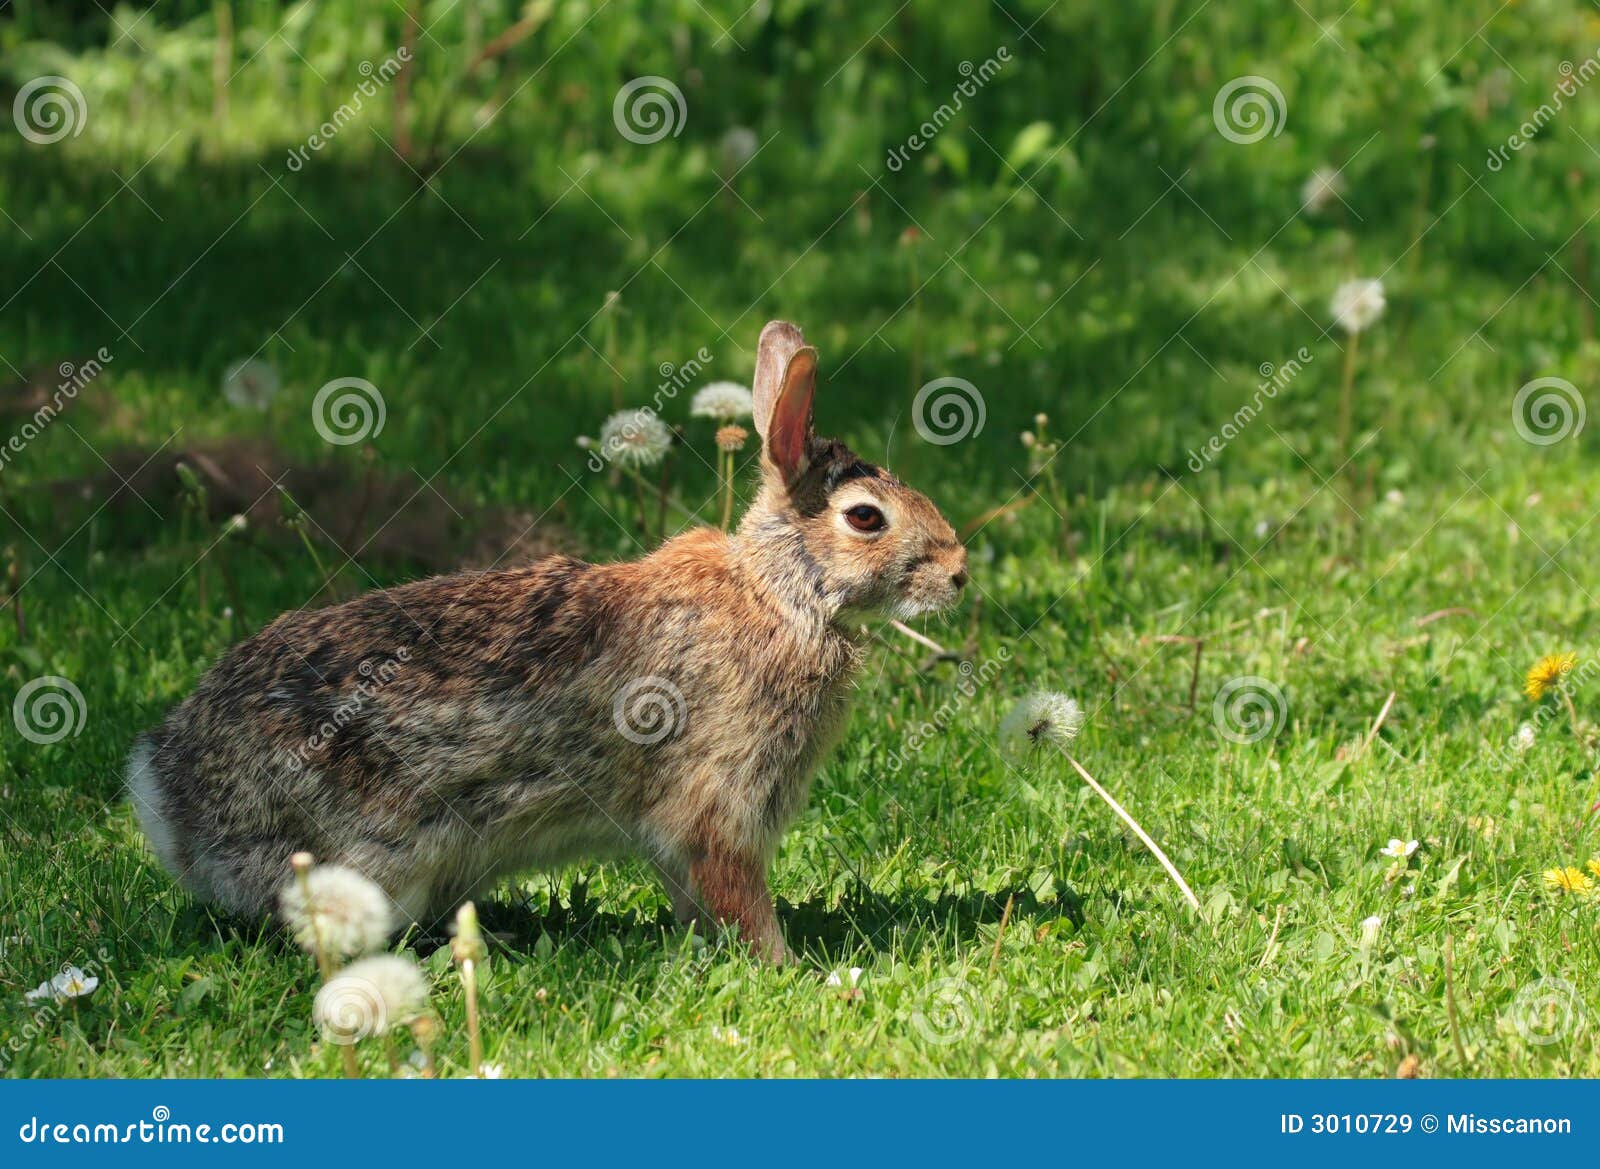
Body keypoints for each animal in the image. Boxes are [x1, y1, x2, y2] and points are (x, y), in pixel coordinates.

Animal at [126, 320, 968, 963]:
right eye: (866, 518)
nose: (958, 572)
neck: (780, 595)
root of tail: (166, 791)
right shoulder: (720, 801)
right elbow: (736, 891)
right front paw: (788, 966)